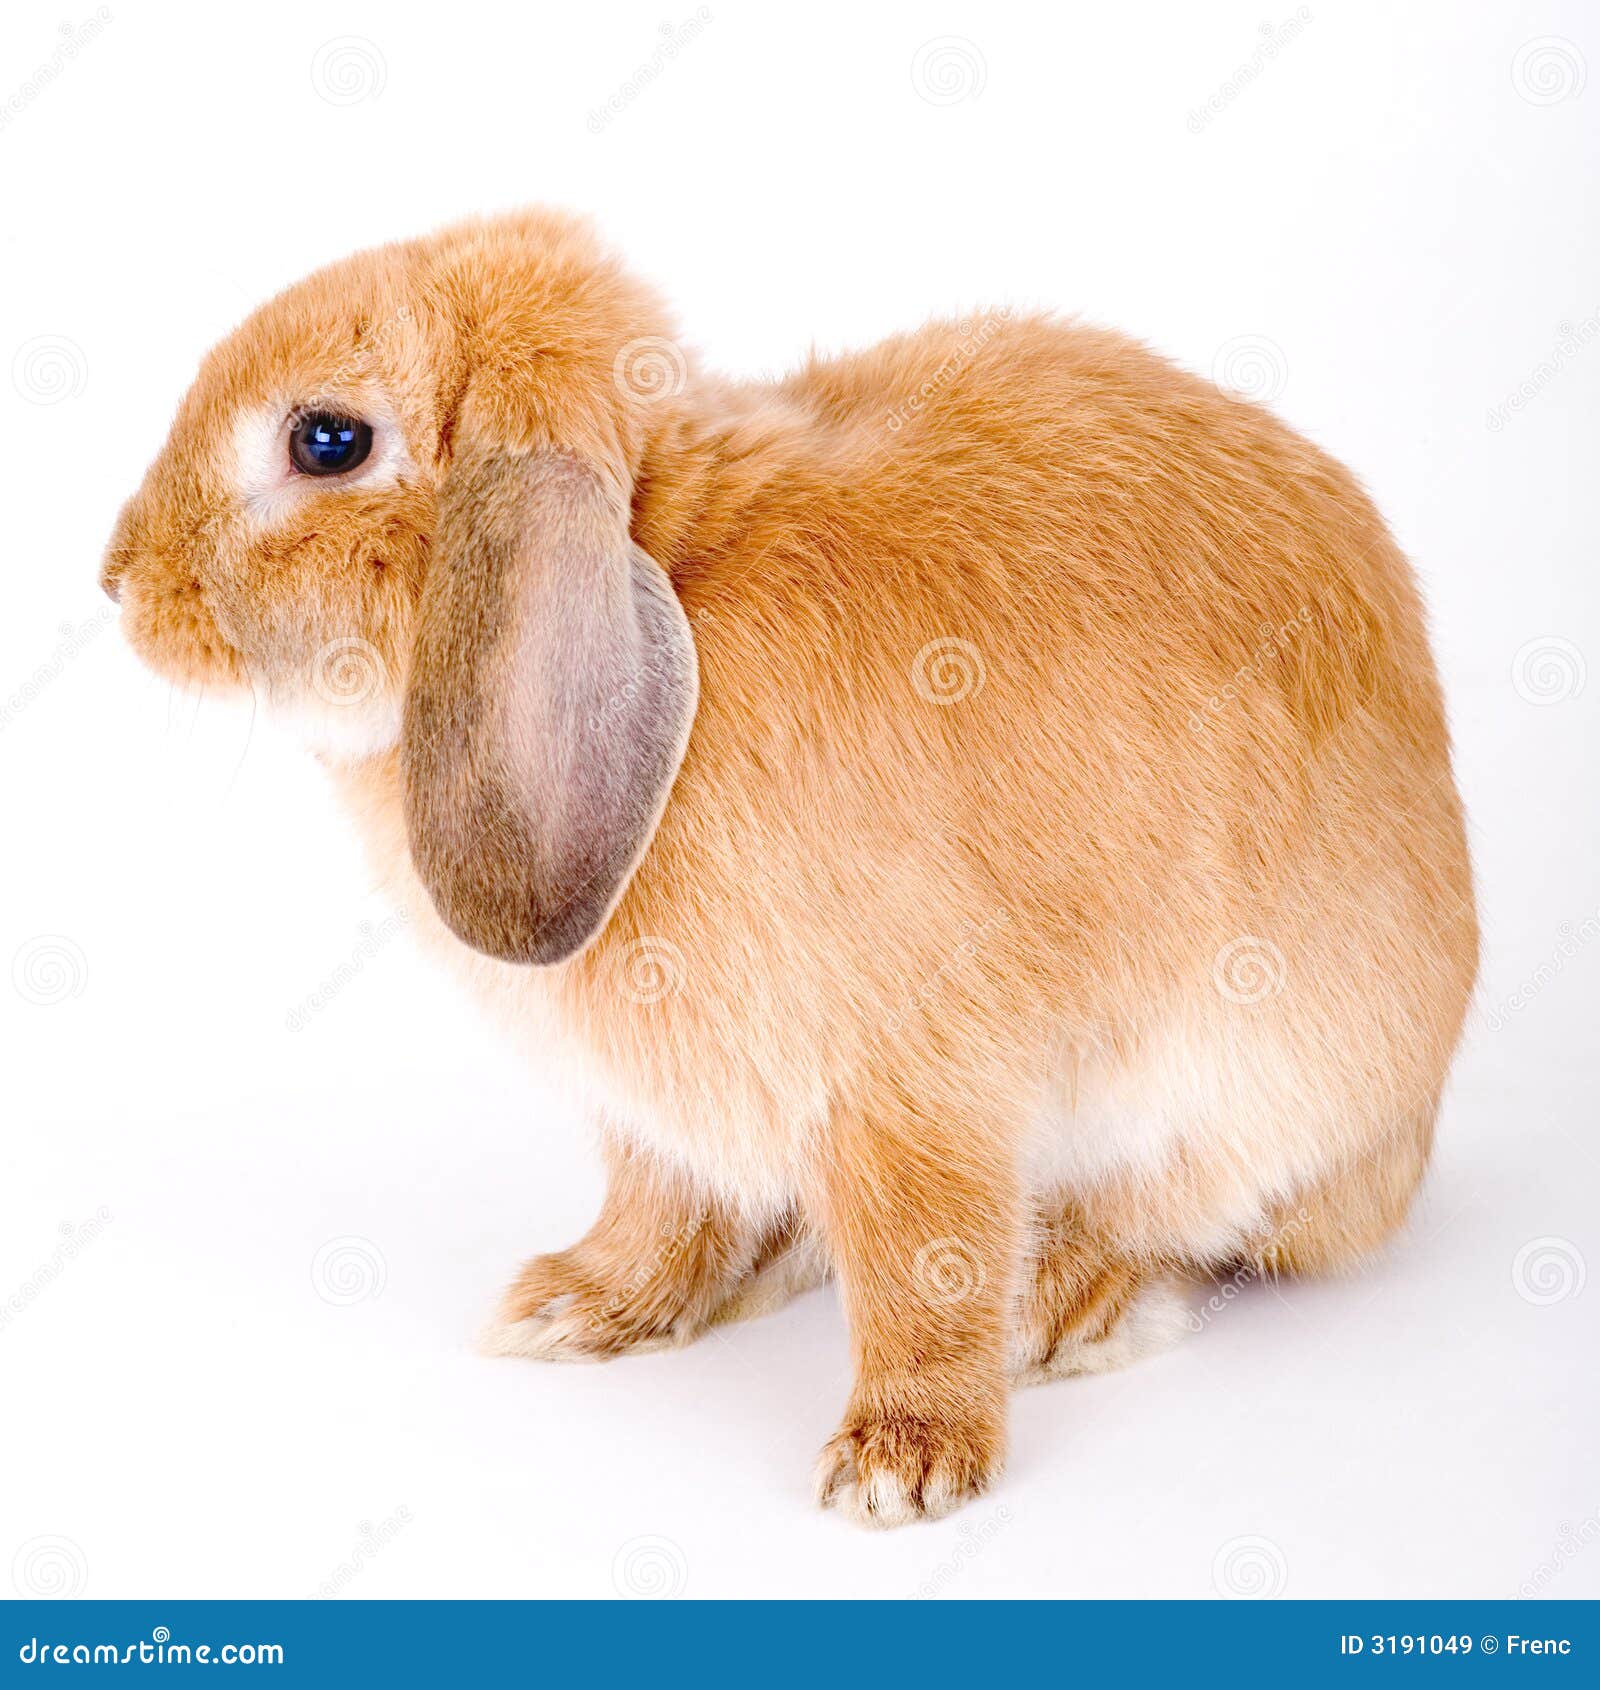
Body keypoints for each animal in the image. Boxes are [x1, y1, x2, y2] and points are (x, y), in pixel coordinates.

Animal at [102, 208, 1478, 1527]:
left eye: (328, 441)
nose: (119, 579)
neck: (667, 560)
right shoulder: (665, 1114)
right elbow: (664, 1206)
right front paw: (581, 1306)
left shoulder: (911, 1077)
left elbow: (927, 1258)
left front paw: (902, 1464)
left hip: (1249, 1089)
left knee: (1200, 1222)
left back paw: (1067, 1300)